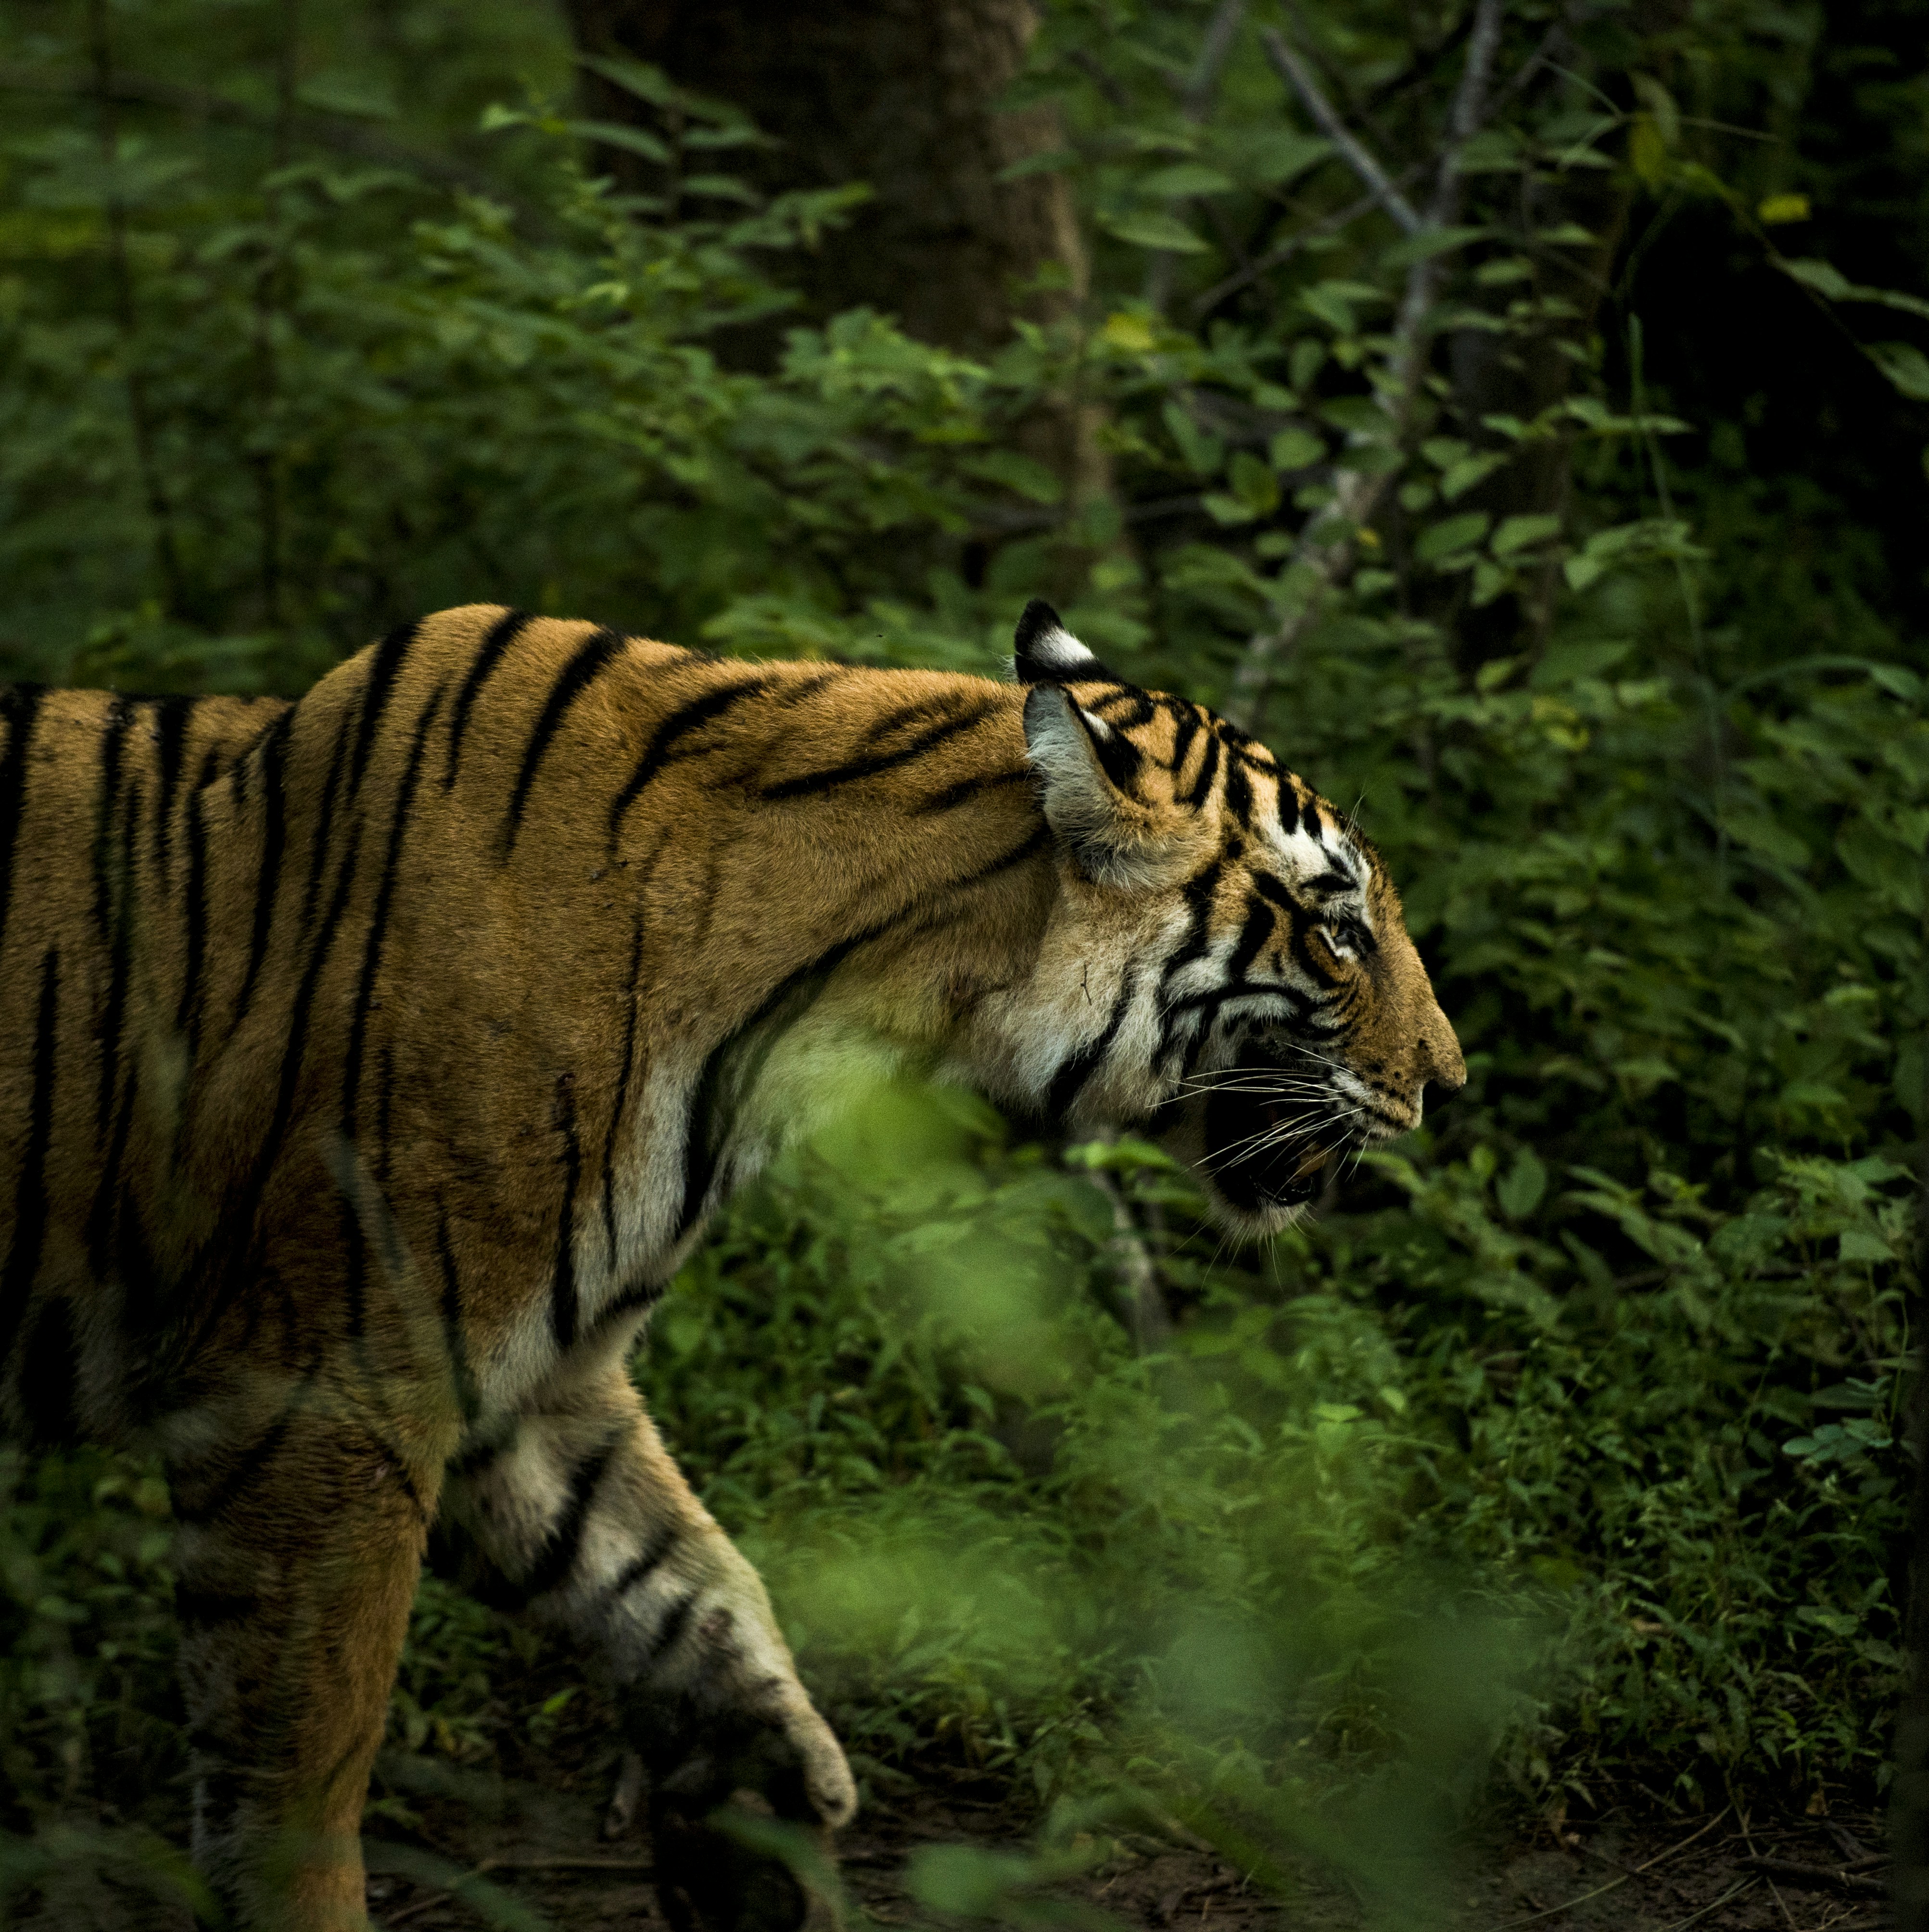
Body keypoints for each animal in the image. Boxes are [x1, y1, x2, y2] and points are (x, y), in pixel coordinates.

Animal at [0, 598, 1462, 1930]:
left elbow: (686, 1593)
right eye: (1337, 929)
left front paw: (757, 1826)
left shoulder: (524, 1389)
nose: (1448, 1083)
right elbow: (301, 1766)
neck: (823, 1010)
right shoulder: (327, 1389)